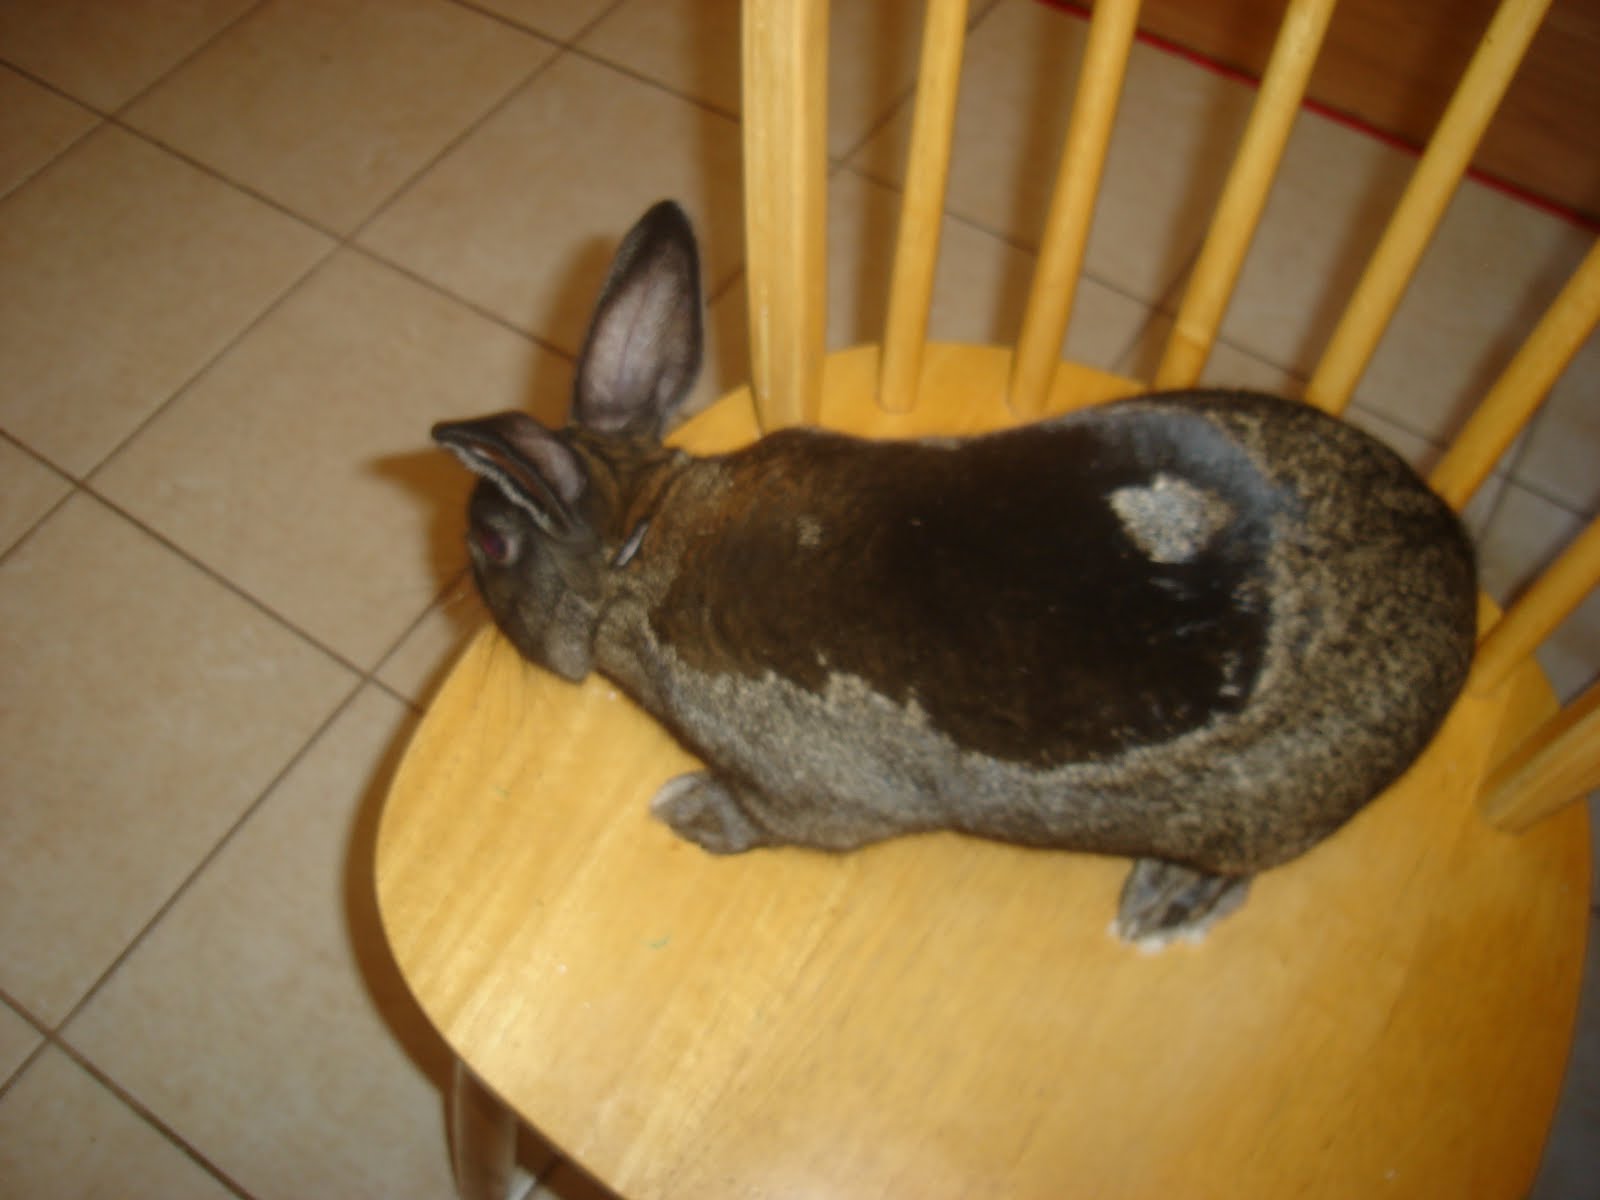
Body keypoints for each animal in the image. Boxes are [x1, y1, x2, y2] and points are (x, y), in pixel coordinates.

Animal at [433, 200, 1478, 946]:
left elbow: (776, 820)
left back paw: (1164, 904)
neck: (642, 544)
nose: (465, 562)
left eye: (491, 549)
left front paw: (688, 810)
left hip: (1250, 813)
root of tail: (1462, 598)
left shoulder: (814, 798)